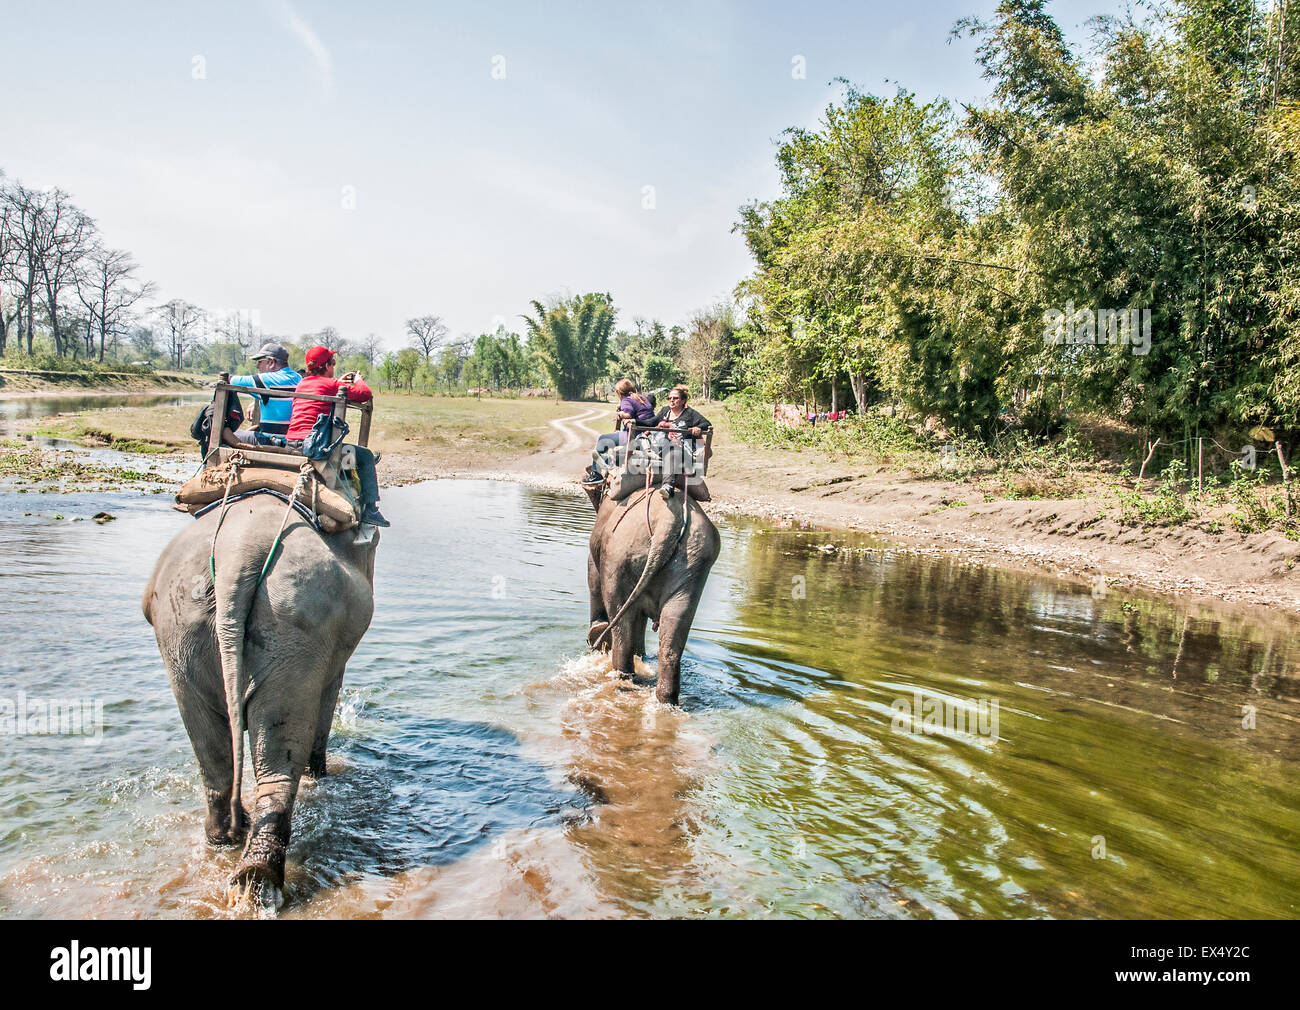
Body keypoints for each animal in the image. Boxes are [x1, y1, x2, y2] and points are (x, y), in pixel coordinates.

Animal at [143, 495, 378, 900]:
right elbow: (329, 694)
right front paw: (319, 775)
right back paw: (258, 875)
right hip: (294, 624)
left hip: (181, 631)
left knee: (213, 750)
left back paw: (231, 845)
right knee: (278, 745)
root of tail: (238, 553)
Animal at [582, 481, 720, 705]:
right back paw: (665, 699)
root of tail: (667, 523)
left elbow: (593, 574)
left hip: (619, 558)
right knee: (673, 638)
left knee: (621, 633)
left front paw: (596, 633)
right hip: (694, 564)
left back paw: (621, 677)